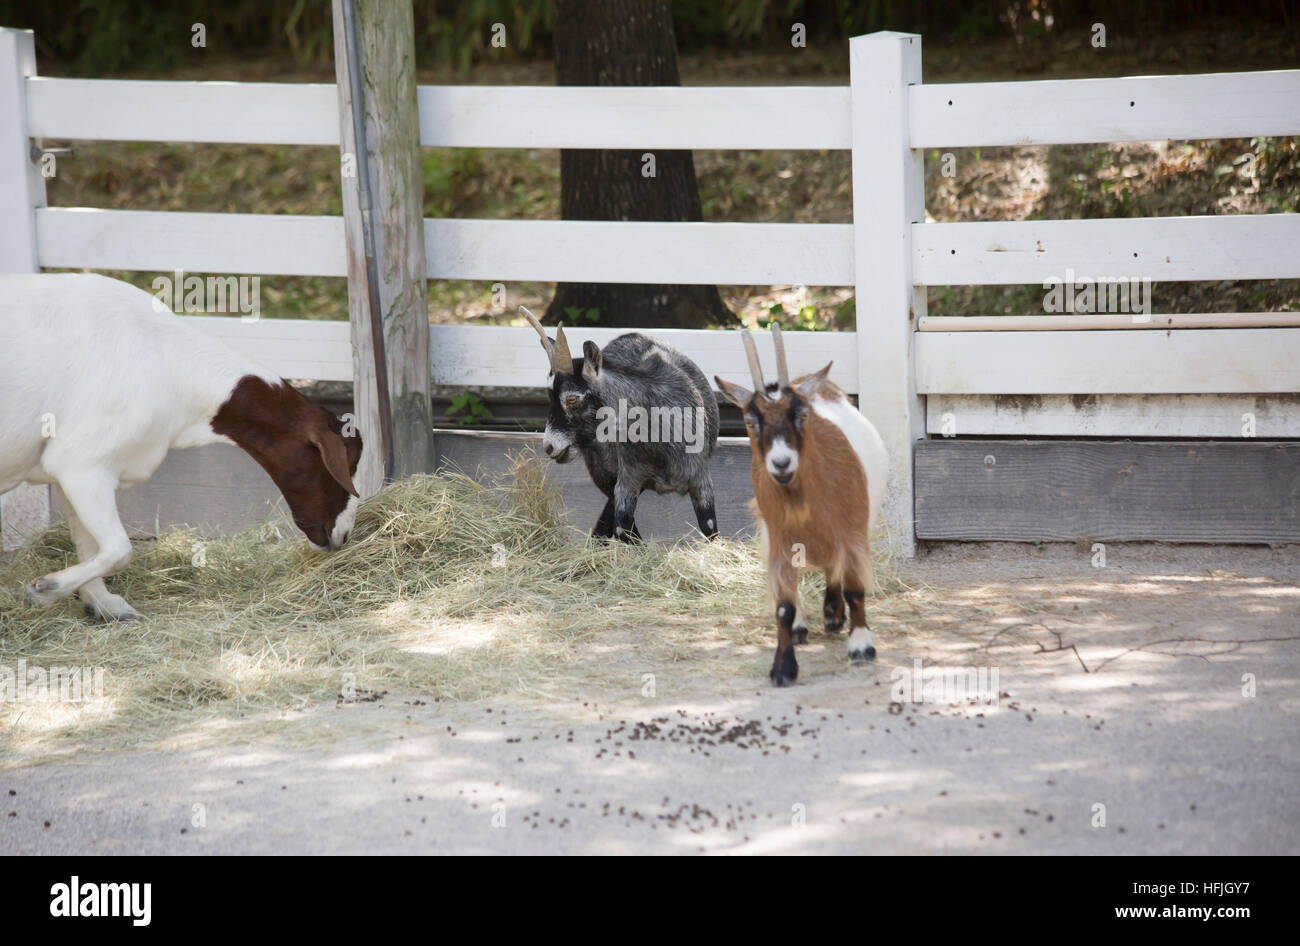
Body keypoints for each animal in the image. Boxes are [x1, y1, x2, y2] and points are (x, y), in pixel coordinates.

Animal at [0, 273, 364, 620]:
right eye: (346, 465)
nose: (344, 536)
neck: (166, 362)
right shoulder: (81, 464)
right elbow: (119, 549)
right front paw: (44, 590)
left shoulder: (69, 472)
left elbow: (91, 543)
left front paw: (103, 604)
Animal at [521, 307, 719, 541]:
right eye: (549, 397)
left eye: (571, 399)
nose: (549, 446)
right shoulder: (628, 479)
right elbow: (623, 528)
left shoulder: (700, 479)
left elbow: (711, 529)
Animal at [715, 326, 888, 686]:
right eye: (749, 421)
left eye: (802, 415)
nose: (781, 463)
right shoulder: (780, 540)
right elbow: (783, 605)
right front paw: (783, 666)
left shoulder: (851, 532)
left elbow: (855, 589)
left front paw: (861, 646)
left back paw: (834, 616)